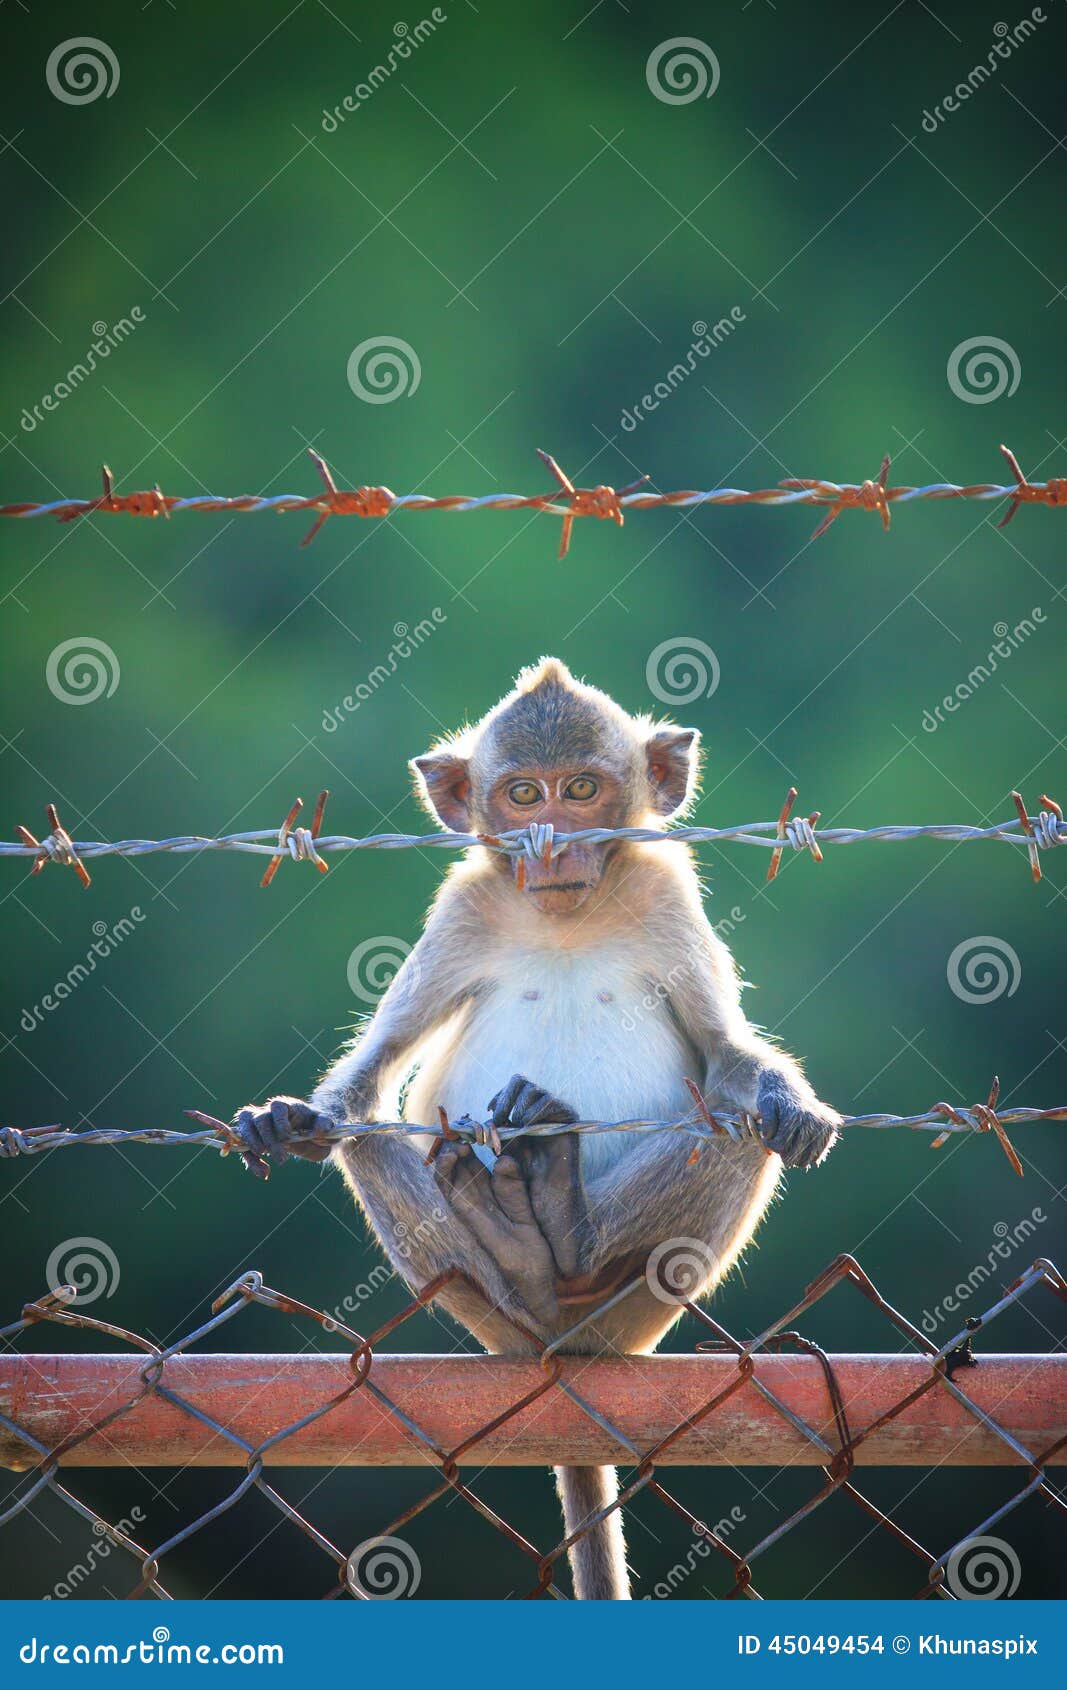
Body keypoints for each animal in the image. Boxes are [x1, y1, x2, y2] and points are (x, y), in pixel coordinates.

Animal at [235, 658, 840, 1600]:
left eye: (581, 790)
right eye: (523, 796)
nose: (549, 841)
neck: (569, 916)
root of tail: (565, 1349)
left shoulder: (668, 892)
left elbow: (728, 1061)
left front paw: (790, 1104)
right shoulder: (463, 907)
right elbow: (370, 1077)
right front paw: (295, 1119)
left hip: (642, 1314)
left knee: (736, 1129)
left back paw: (567, 1232)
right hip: (494, 1324)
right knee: (375, 1142)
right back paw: (520, 1252)